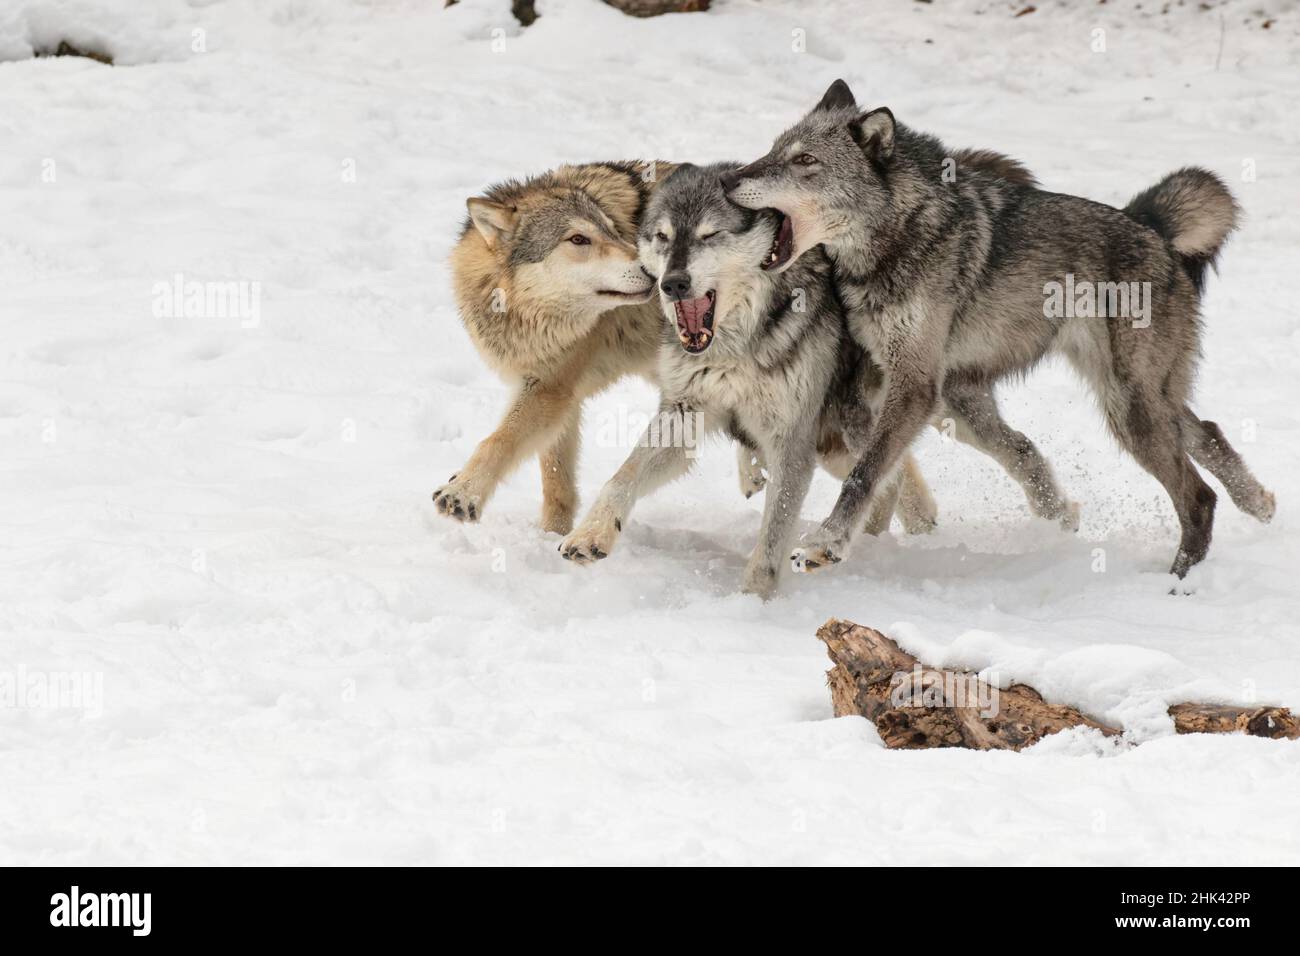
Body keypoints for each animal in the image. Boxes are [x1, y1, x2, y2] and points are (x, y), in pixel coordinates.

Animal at [440, 160, 938, 536]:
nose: (654, 273)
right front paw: (552, 536)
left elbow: (498, 441)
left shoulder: (549, 390)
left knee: (898, 470)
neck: (515, 310)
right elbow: (557, 482)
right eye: (579, 239)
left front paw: (462, 493)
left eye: (610, 230)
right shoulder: (561, 395)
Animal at [723, 79, 1274, 578]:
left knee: (1197, 495)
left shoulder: (914, 385)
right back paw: (1260, 503)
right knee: (1207, 432)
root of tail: (1152, 228)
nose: (729, 181)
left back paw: (1179, 581)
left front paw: (825, 545)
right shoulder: (884, 383)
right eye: (773, 149)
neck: (898, 234)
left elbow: (865, 473)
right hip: (1107, 400)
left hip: (1128, 410)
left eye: (805, 161)